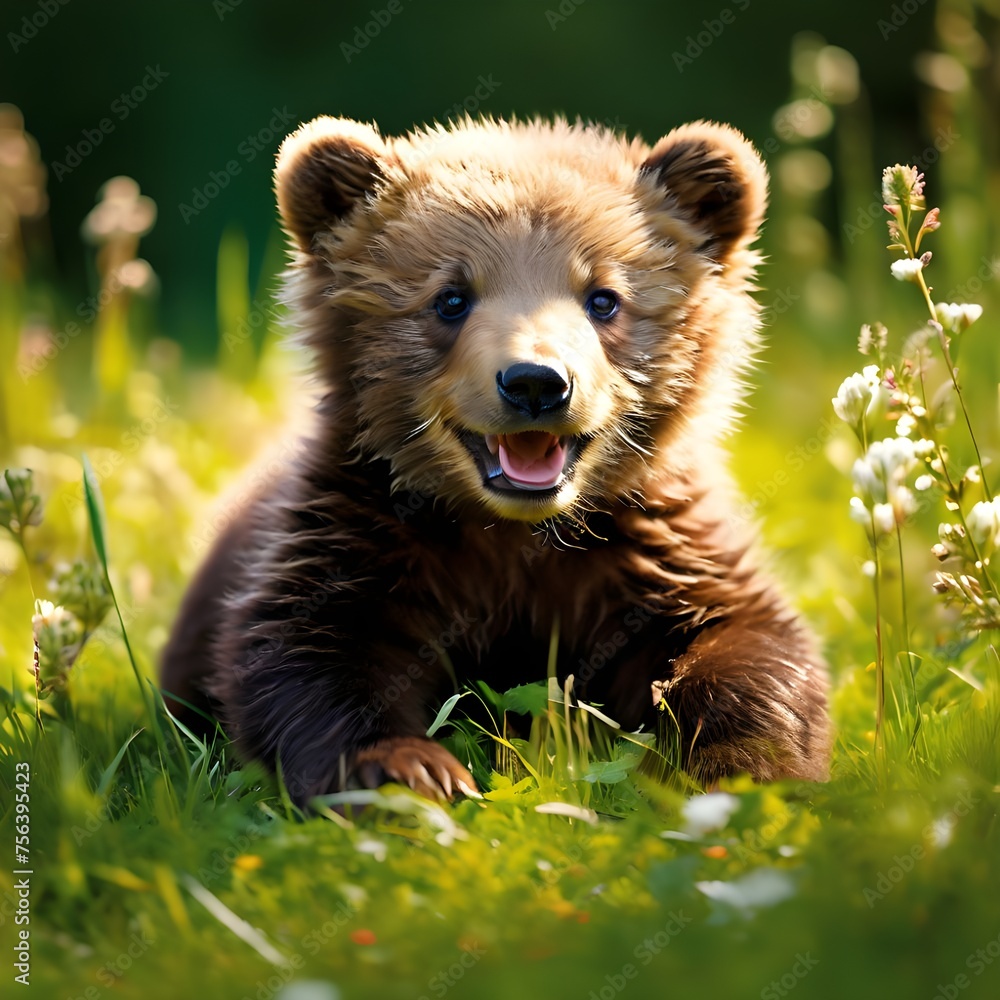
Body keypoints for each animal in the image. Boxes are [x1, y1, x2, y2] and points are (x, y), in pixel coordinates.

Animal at [160, 114, 830, 805]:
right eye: (451, 297)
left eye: (604, 297)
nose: (536, 382)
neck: (515, 534)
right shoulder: (360, 536)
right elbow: (306, 649)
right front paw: (410, 770)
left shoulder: (652, 550)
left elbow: (744, 641)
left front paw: (742, 766)